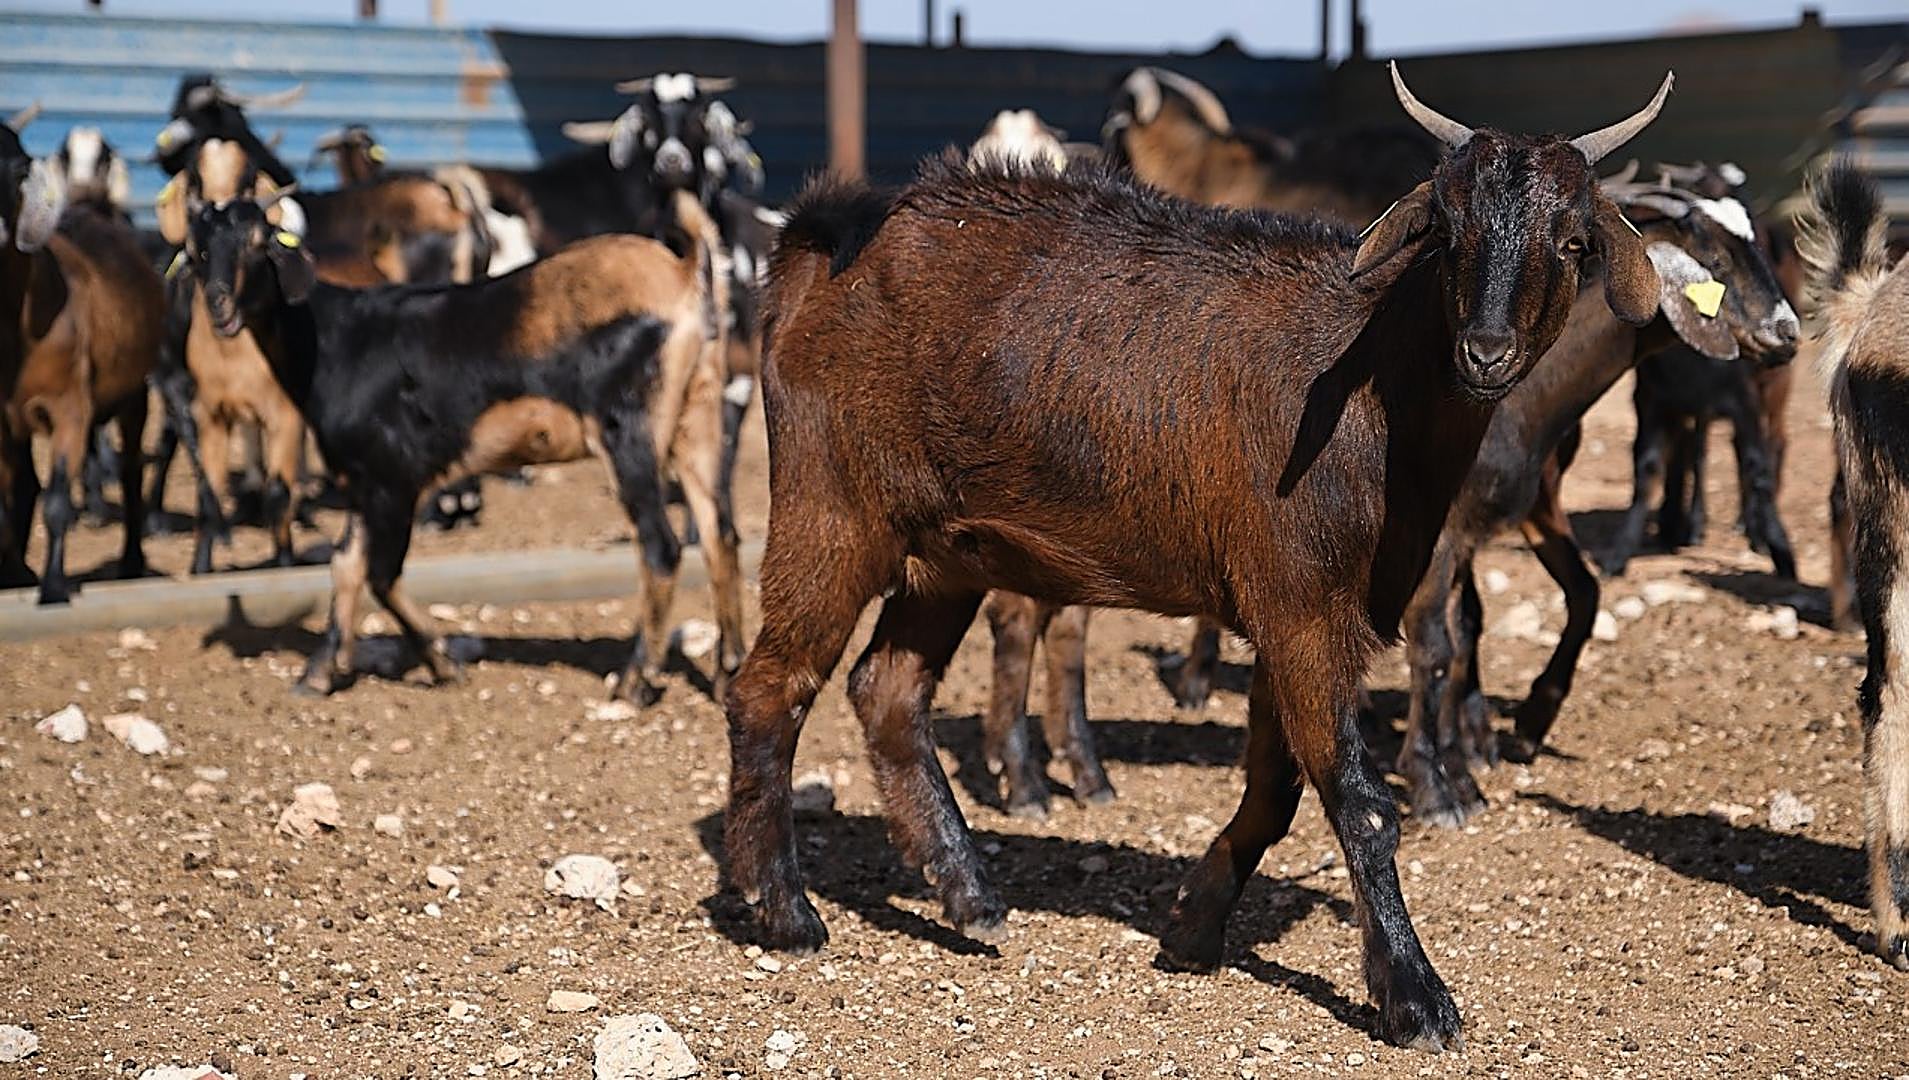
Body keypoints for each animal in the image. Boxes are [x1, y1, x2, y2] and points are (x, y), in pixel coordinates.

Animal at [0, 110, 162, 604]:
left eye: (17, 169)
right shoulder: (3, 418)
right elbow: (12, 495)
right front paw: (13, 574)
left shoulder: (69, 405)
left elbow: (54, 501)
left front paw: (53, 589)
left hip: (134, 394)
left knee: (130, 471)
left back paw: (131, 561)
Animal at [181, 185, 742, 705]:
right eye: (199, 249)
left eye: (259, 243)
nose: (219, 306)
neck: (336, 339)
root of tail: (683, 272)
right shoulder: (365, 479)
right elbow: (346, 564)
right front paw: (318, 674)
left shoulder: (394, 476)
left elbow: (379, 572)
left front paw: (443, 663)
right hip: (697, 416)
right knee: (721, 533)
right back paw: (727, 676)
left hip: (629, 428)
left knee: (661, 547)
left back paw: (633, 682)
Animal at [726, 66, 1670, 1050]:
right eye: (1445, 234)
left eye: (1572, 240)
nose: (1485, 353)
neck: (1378, 385)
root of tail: (820, 231)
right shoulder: (1300, 606)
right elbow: (1359, 803)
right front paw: (1414, 995)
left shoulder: (1291, 614)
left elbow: (1273, 788)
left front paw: (1193, 925)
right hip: (831, 506)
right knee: (771, 687)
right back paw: (783, 910)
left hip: (946, 552)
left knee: (888, 690)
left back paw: (969, 894)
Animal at [1396, 170, 1800, 827]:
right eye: (1714, 260)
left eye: (1759, 245)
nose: (1786, 334)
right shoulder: (1442, 530)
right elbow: (1436, 643)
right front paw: (1437, 789)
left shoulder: (1534, 503)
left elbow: (1580, 595)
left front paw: (1527, 726)